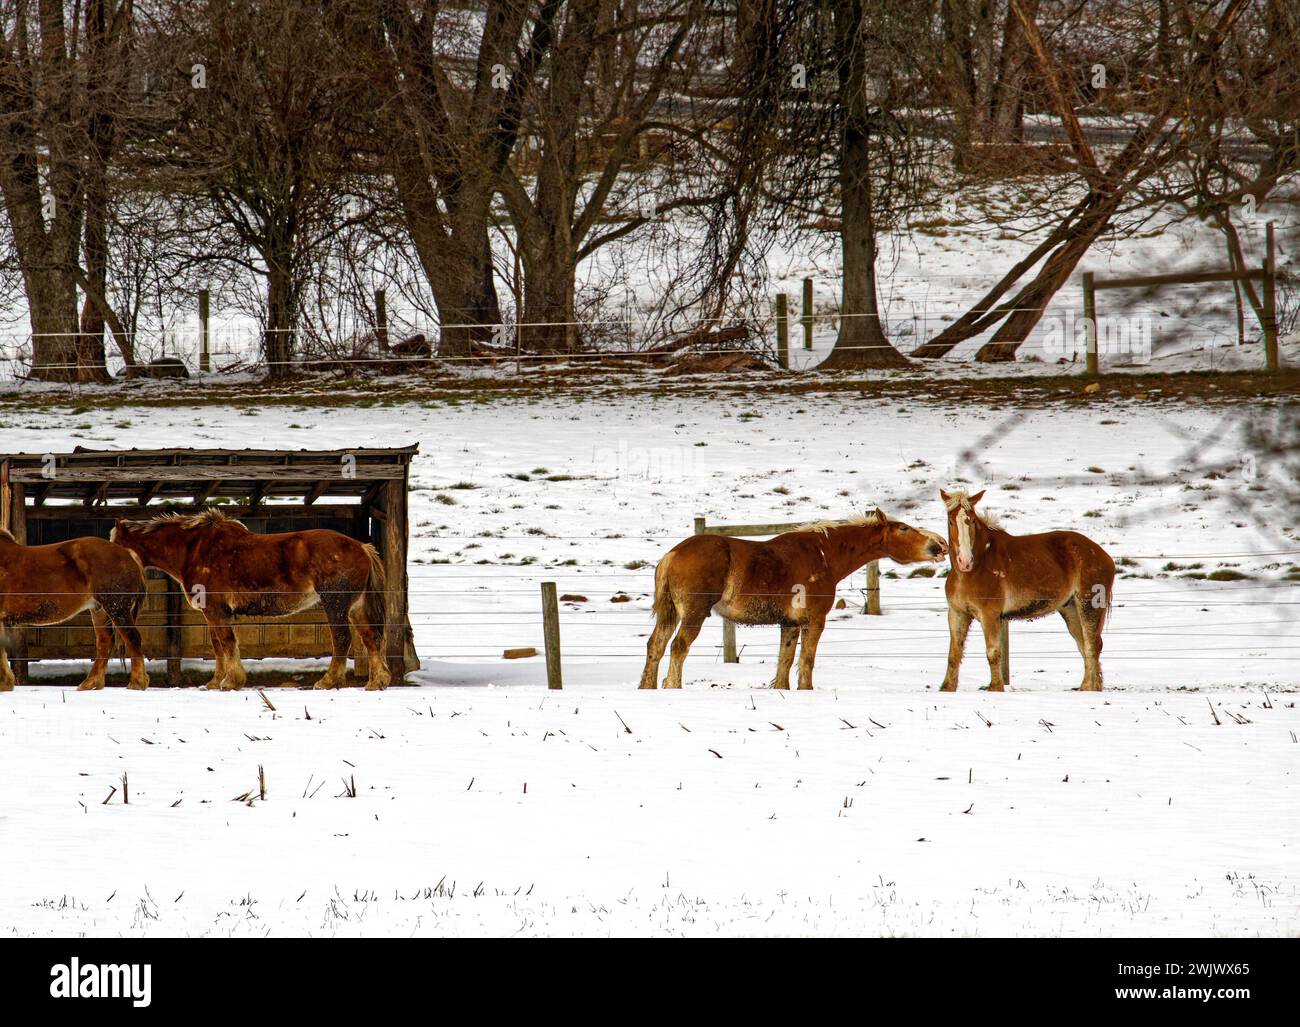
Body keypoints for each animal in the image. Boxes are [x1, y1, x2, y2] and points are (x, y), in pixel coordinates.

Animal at [0, 528, 150, 691]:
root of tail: (128, 553)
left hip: (117, 609)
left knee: (133, 639)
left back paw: (136, 683)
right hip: (100, 611)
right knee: (105, 643)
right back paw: (90, 683)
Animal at [111, 509, 390, 691]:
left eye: (114, 545)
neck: (194, 549)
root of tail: (362, 547)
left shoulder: (216, 611)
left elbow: (226, 643)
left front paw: (230, 681)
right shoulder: (213, 614)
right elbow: (218, 646)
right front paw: (215, 681)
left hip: (336, 605)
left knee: (342, 639)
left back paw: (329, 681)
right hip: (355, 608)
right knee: (371, 639)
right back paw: (376, 681)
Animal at [639, 510, 948, 691]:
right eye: (904, 529)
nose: (940, 544)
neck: (822, 555)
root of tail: (673, 554)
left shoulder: (789, 624)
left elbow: (785, 662)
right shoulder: (815, 620)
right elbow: (807, 660)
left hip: (670, 615)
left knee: (656, 645)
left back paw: (647, 687)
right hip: (694, 614)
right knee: (678, 647)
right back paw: (673, 686)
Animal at [938, 489, 1115, 692]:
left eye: (972, 520)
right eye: (951, 521)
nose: (965, 561)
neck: (975, 568)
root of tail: (1102, 554)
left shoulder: (989, 615)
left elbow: (993, 652)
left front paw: (996, 688)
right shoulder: (957, 614)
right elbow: (954, 653)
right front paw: (947, 688)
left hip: (1089, 606)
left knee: (1092, 646)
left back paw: (1087, 688)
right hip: (1070, 609)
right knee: (1084, 645)